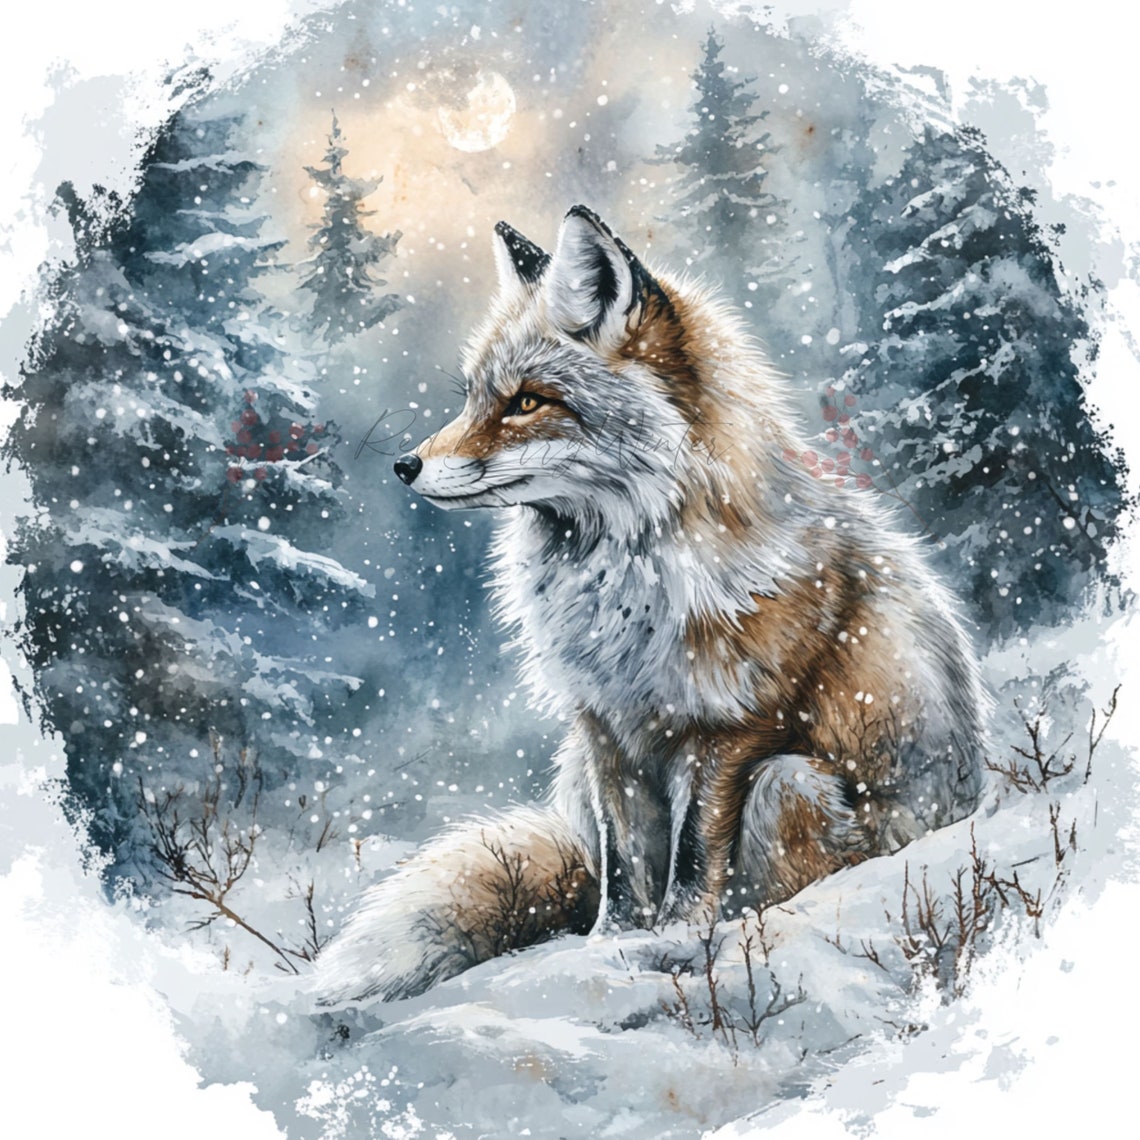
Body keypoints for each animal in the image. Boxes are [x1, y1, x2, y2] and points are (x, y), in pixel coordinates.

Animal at [316, 205, 986, 1003]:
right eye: (474, 396)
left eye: (528, 401)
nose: (404, 465)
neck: (624, 593)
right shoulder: (606, 729)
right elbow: (624, 861)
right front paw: (611, 944)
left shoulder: (730, 731)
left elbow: (694, 854)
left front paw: (675, 934)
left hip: (788, 784)